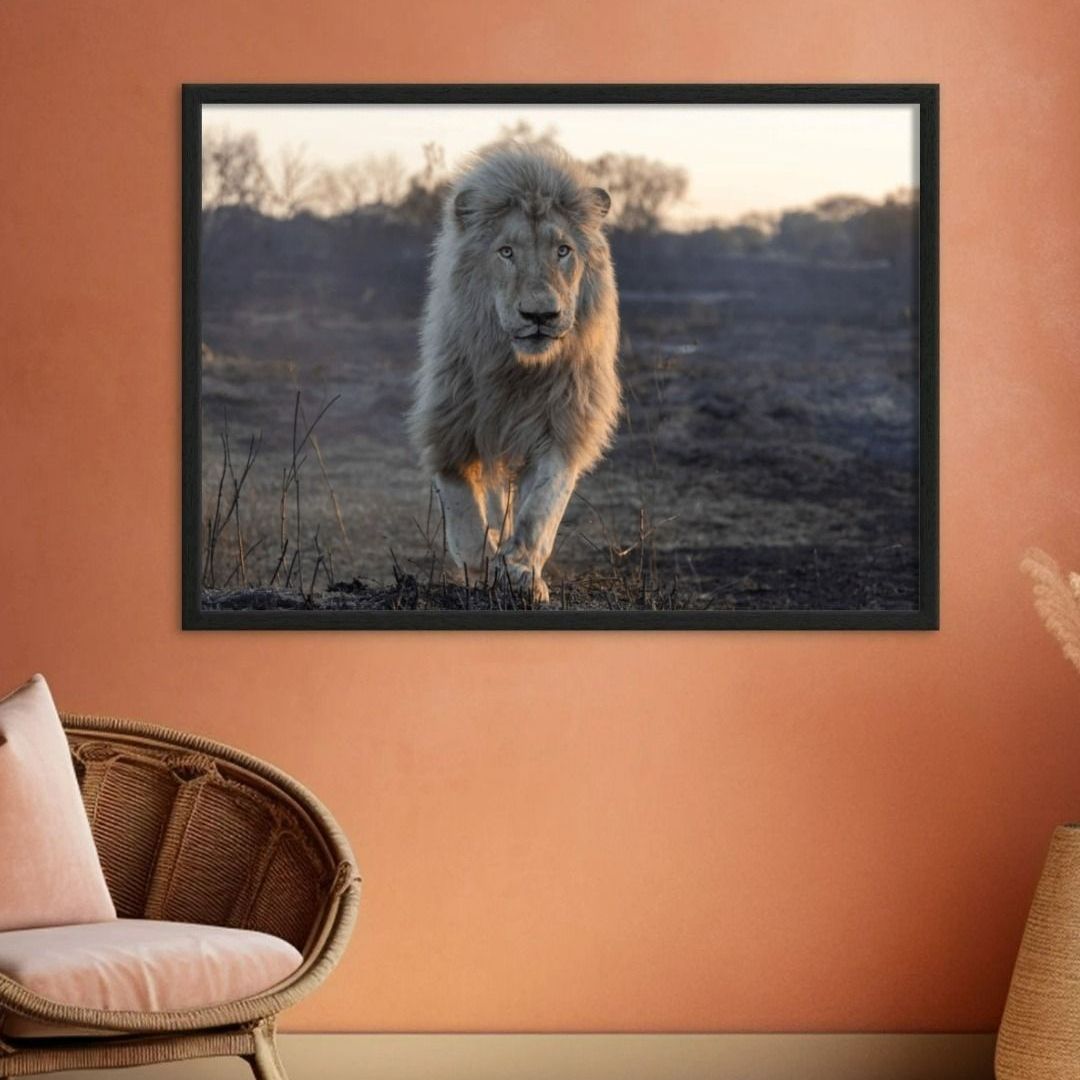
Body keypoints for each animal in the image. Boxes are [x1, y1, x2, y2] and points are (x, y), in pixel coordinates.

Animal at [407, 142, 621, 603]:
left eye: (563, 250)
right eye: (506, 252)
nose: (540, 315)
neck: (517, 373)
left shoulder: (564, 425)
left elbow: (541, 507)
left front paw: (521, 571)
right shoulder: (450, 422)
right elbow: (462, 507)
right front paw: (480, 566)